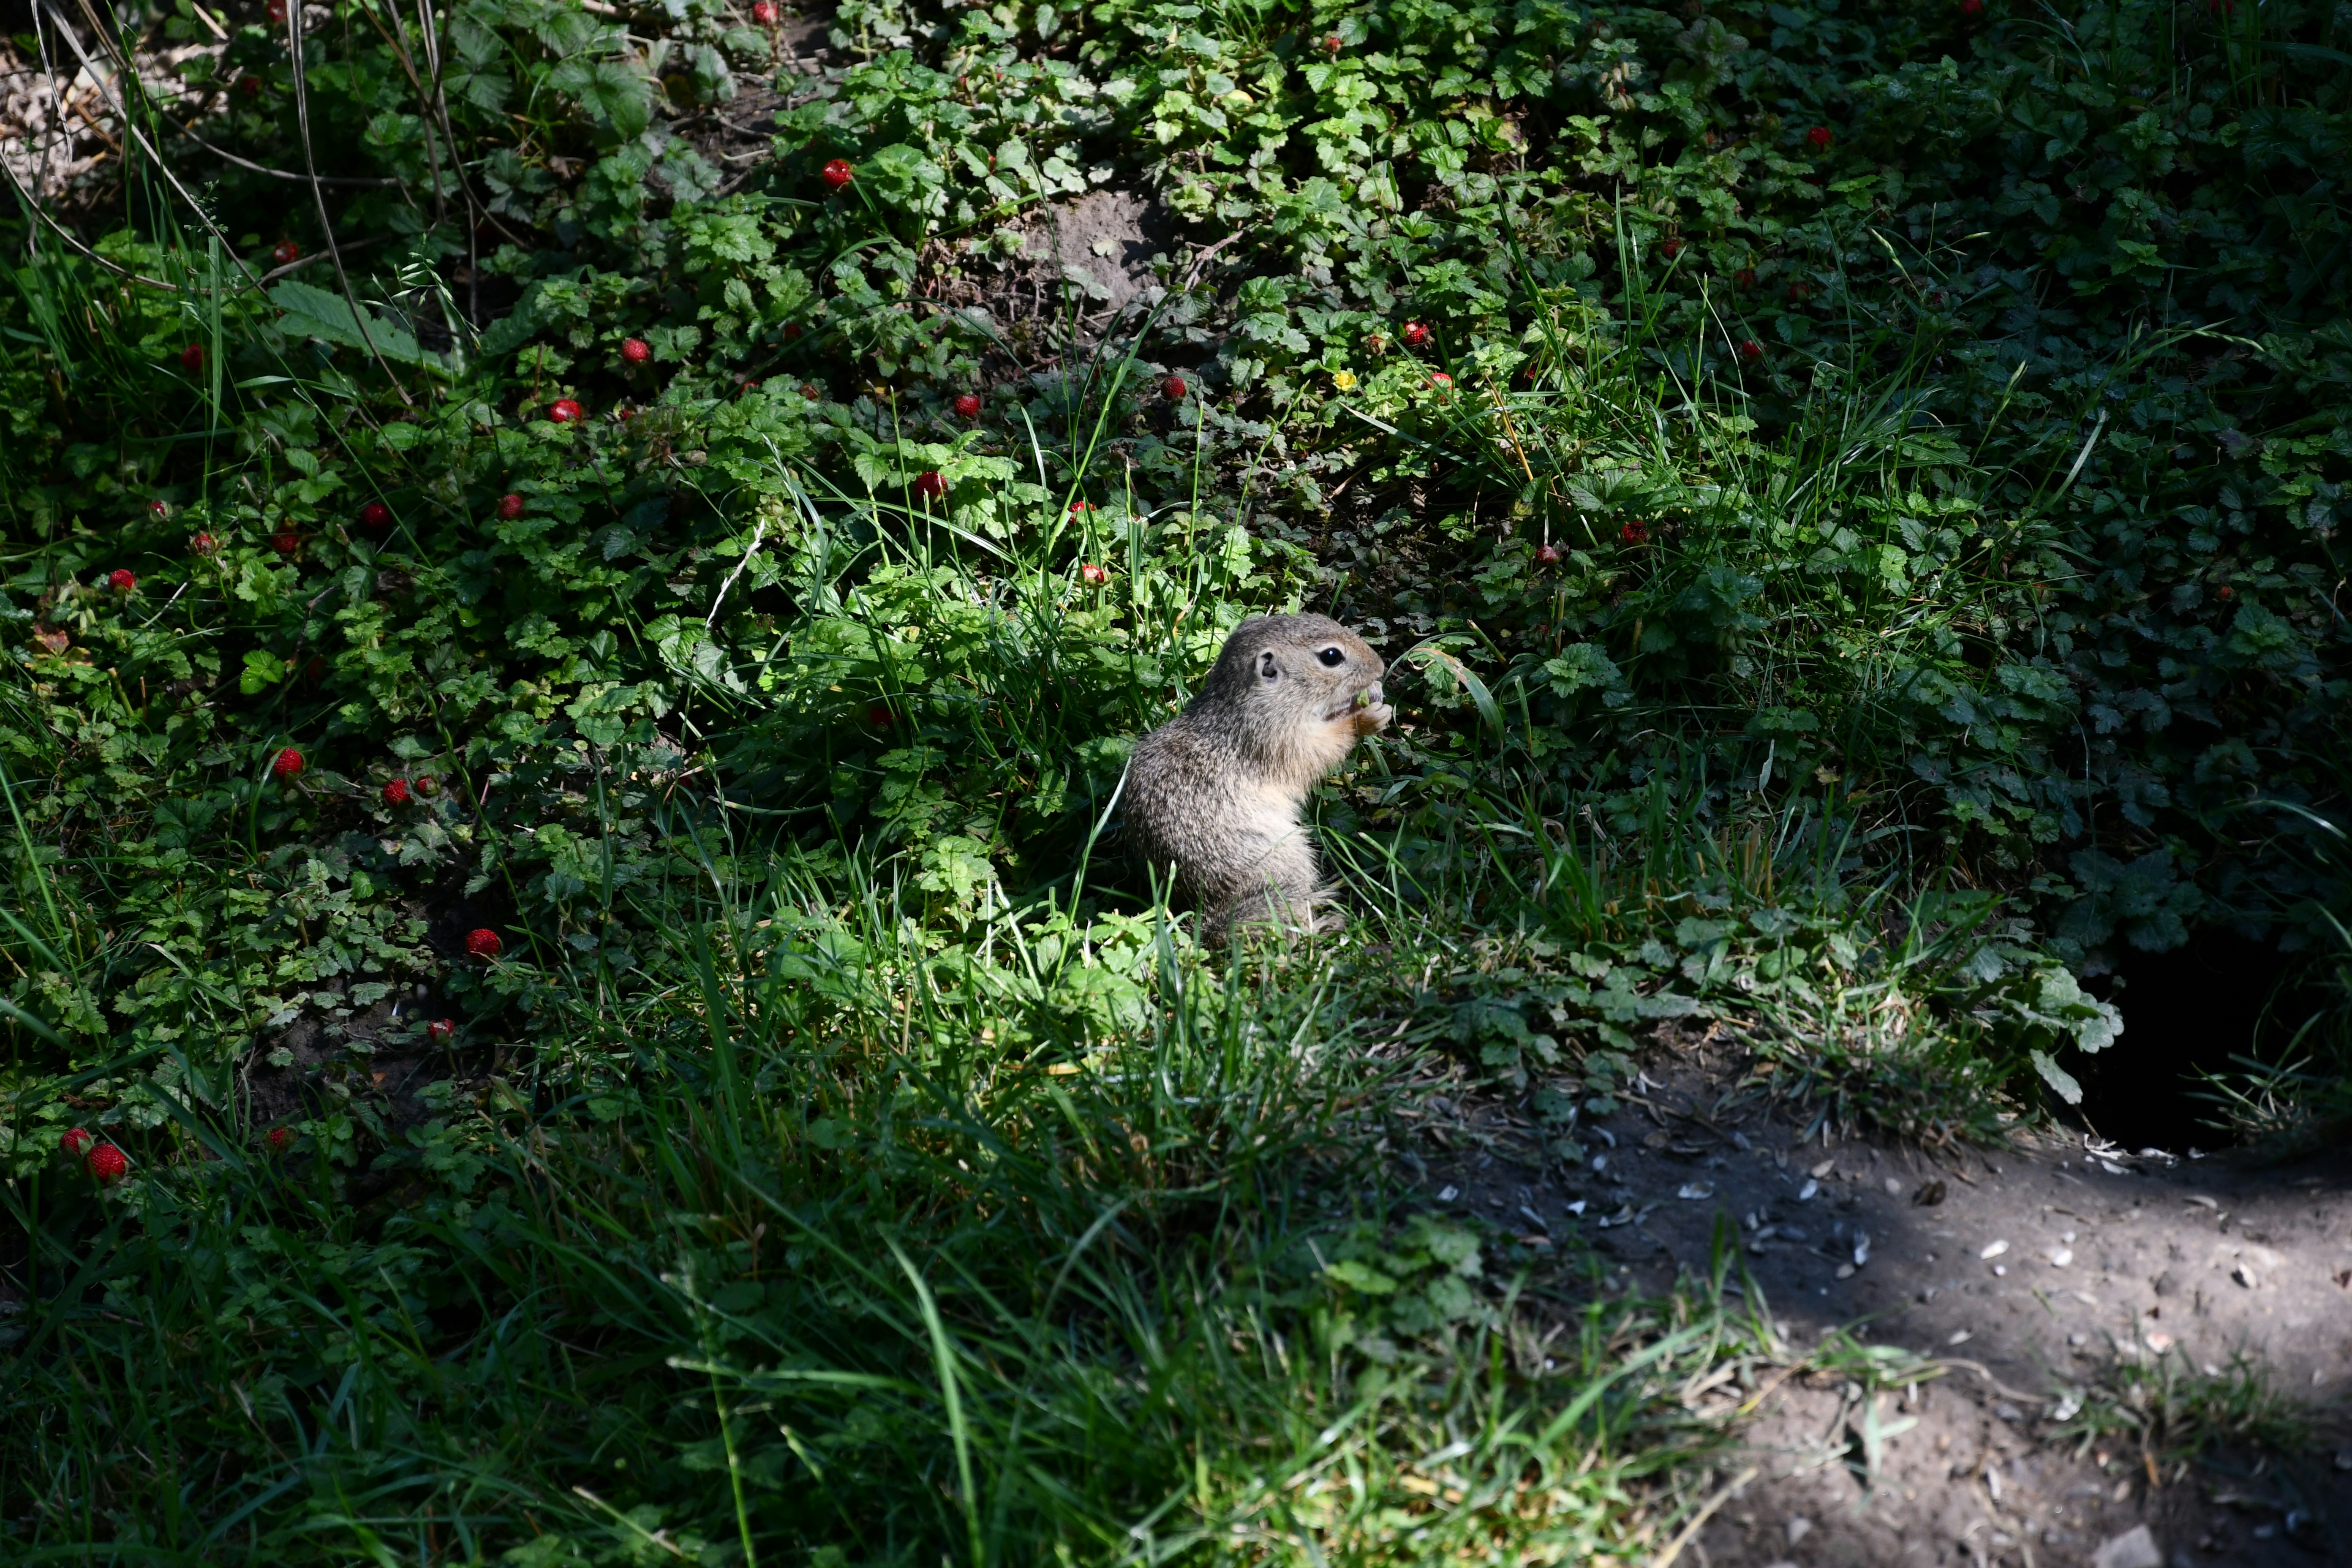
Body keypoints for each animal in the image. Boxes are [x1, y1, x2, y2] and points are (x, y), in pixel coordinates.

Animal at [1124, 613, 1391, 938]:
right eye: (1331, 656)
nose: (1380, 666)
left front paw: (1372, 693)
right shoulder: (1276, 740)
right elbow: (1321, 750)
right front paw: (1365, 718)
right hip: (1287, 864)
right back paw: (1324, 926)